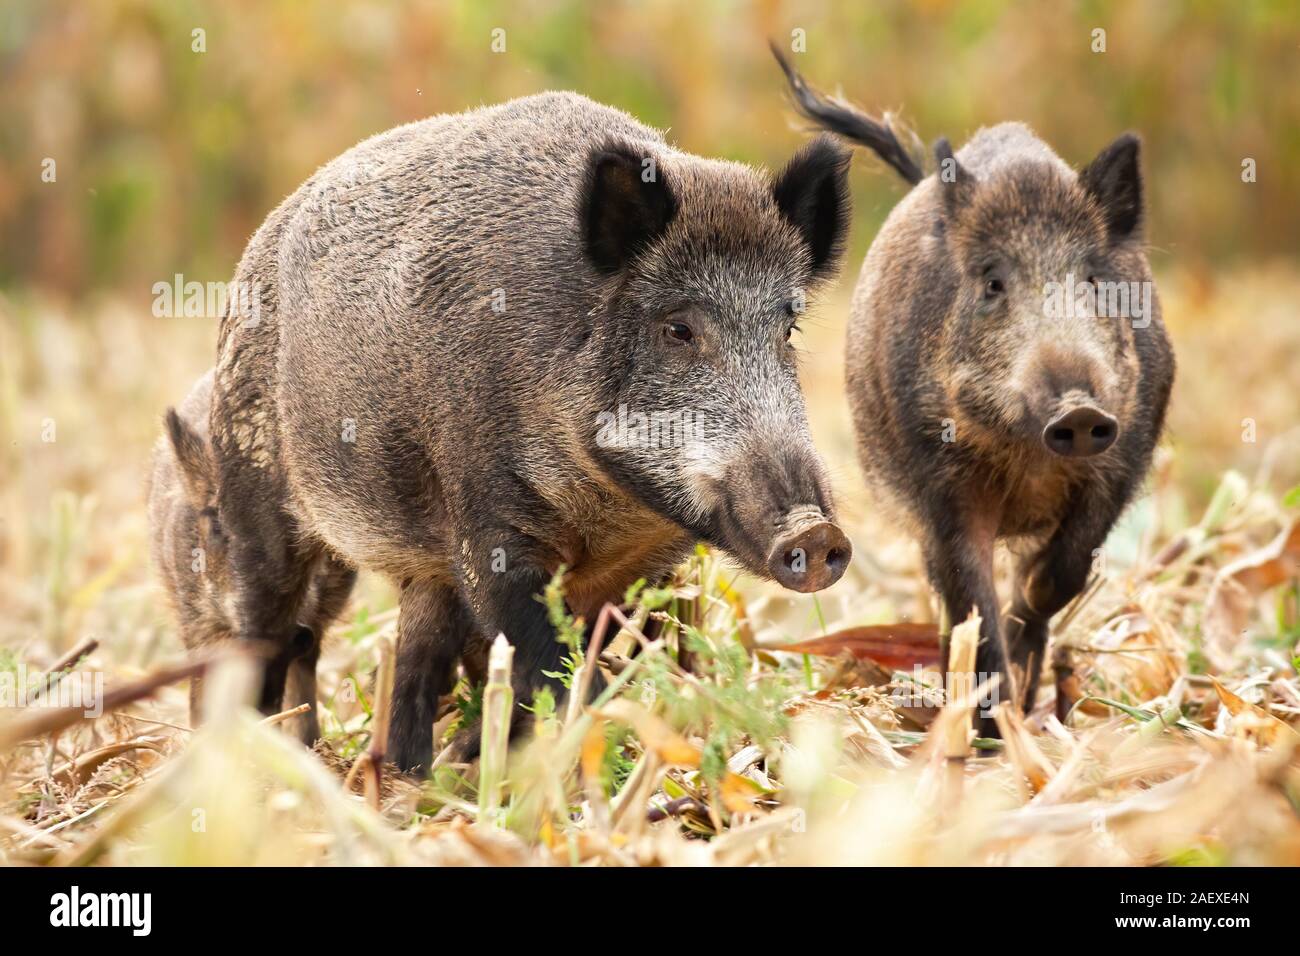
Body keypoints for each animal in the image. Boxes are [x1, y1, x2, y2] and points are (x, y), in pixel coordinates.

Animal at [205, 91, 855, 772]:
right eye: (678, 329)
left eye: (788, 330)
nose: (816, 533)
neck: (610, 507)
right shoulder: (486, 521)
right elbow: (548, 663)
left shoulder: (646, 563)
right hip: (253, 494)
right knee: (265, 631)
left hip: (424, 573)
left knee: (414, 657)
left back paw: (409, 775)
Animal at [775, 51, 1174, 730]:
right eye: (992, 282)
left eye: (1095, 280)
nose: (1079, 410)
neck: (1030, 455)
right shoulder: (940, 482)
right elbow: (971, 601)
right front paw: (996, 728)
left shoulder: (1123, 453)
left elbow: (1062, 571)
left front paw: (1022, 657)